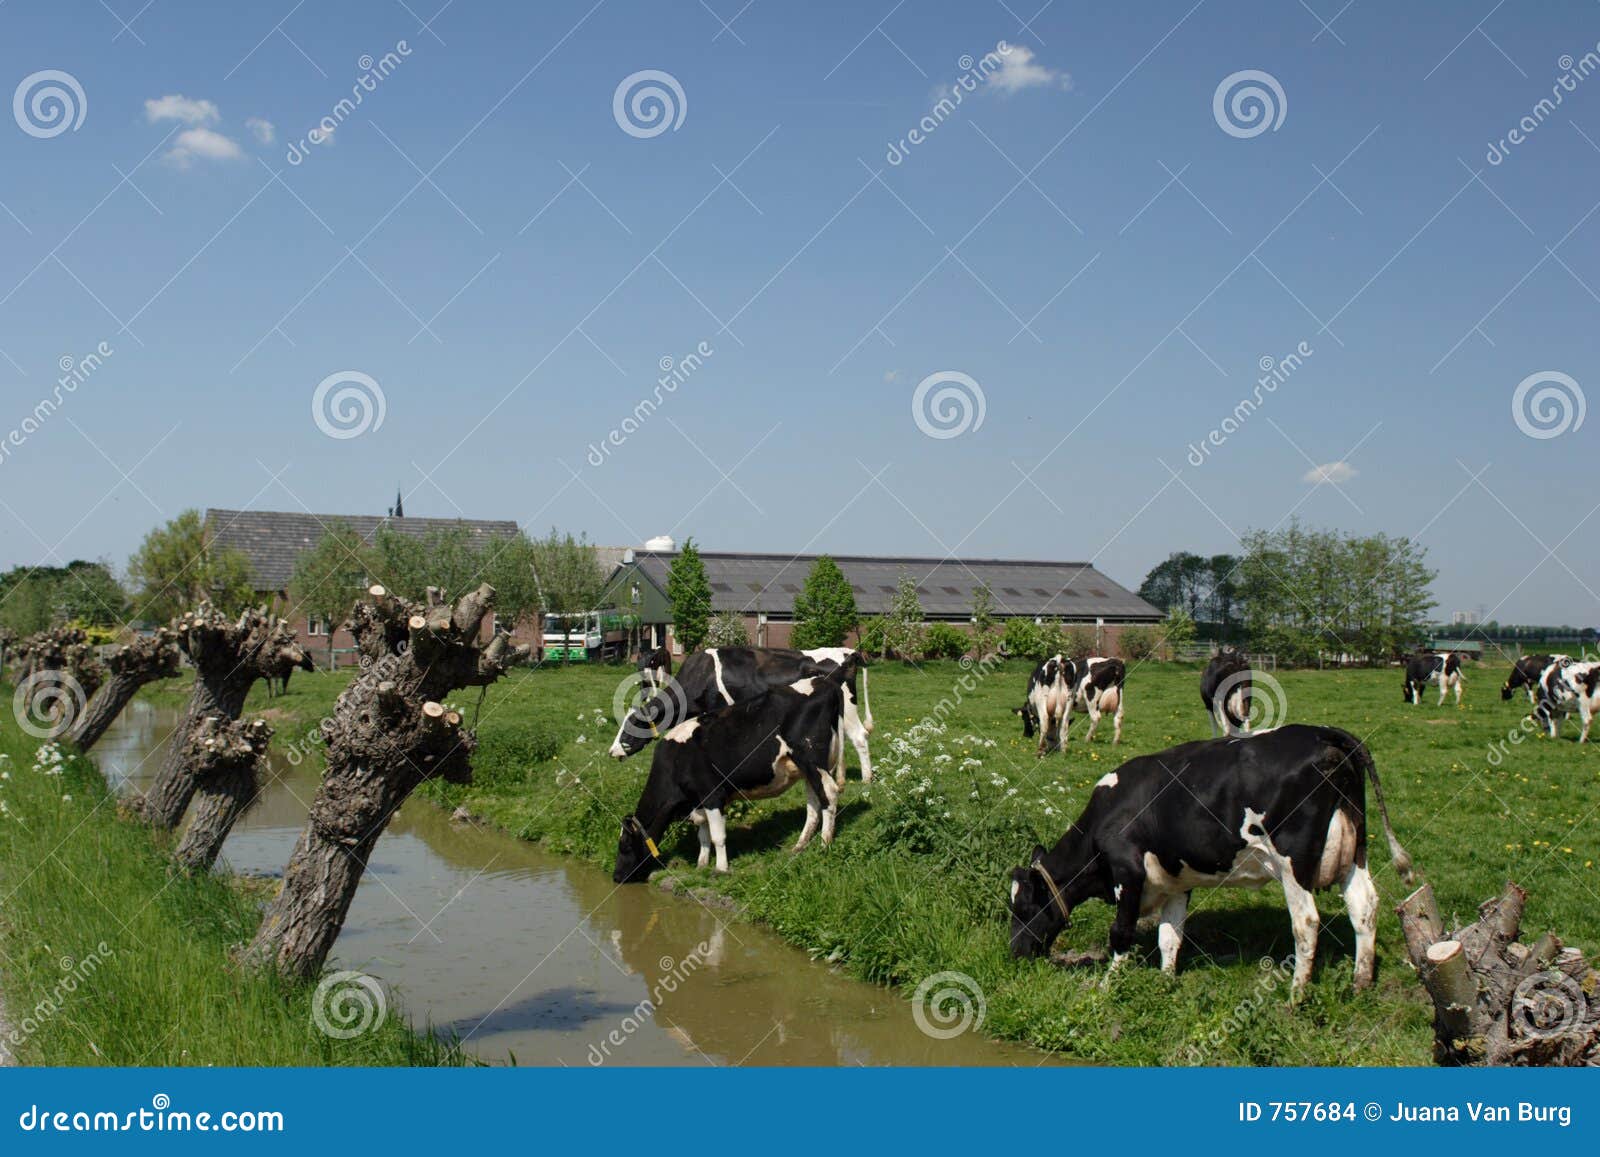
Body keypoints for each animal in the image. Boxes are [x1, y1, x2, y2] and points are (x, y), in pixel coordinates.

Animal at [609, 646, 872, 785]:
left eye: (631, 726)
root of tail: (848, 652)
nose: (612, 751)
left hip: (849, 709)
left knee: (859, 737)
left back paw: (867, 780)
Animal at [612, 673, 847, 882]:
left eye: (624, 845)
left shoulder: (713, 795)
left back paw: (825, 843)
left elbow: (718, 836)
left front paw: (721, 868)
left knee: (829, 795)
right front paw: (701, 865)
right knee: (814, 804)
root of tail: (824, 682)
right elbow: (703, 835)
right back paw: (800, 845)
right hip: (807, 769)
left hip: (812, 760)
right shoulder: (699, 801)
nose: (616, 877)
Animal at [1006, 724, 1414, 998]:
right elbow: (1170, 936)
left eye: (1022, 907)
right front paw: (1165, 982)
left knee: (1307, 922)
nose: (1014, 952)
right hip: (1355, 851)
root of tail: (1324, 734)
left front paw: (1107, 984)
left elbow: (1120, 932)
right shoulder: (1176, 882)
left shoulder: (1128, 871)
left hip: (1292, 863)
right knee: (1364, 906)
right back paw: (1361, 983)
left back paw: (1296, 994)